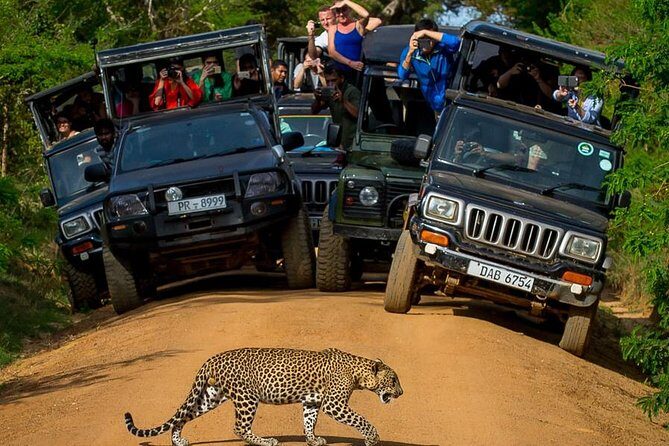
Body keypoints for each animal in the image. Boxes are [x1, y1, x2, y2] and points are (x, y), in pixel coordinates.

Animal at [124, 347, 403, 446]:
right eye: (393, 380)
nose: (401, 392)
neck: (358, 373)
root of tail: (213, 358)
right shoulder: (334, 404)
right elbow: (361, 420)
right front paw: (372, 438)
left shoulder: (312, 401)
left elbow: (309, 422)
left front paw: (313, 440)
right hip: (247, 398)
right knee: (239, 427)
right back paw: (265, 441)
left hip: (211, 396)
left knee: (183, 416)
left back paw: (178, 441)